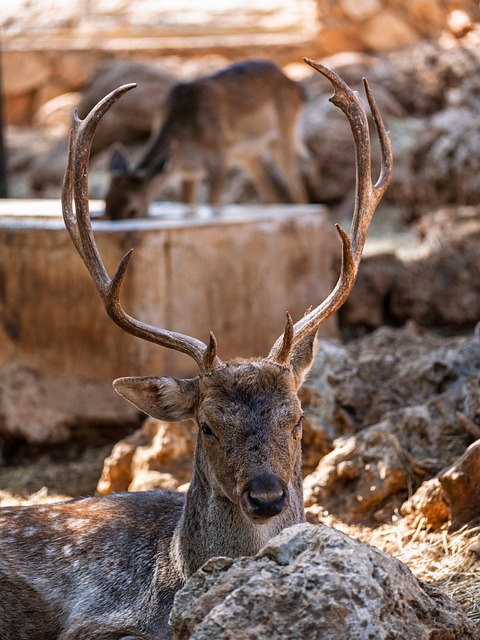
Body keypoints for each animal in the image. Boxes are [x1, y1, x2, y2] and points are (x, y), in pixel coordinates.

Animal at [104, 59, 307, 219]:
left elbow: (214, 204)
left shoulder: (220, 155)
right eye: (106, 203)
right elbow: (188, 206)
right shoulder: (188, 171)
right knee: (273, 193)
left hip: (285, 132)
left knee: (296, 187)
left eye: (132, 210)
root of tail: (294, 85)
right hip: (248, 154)